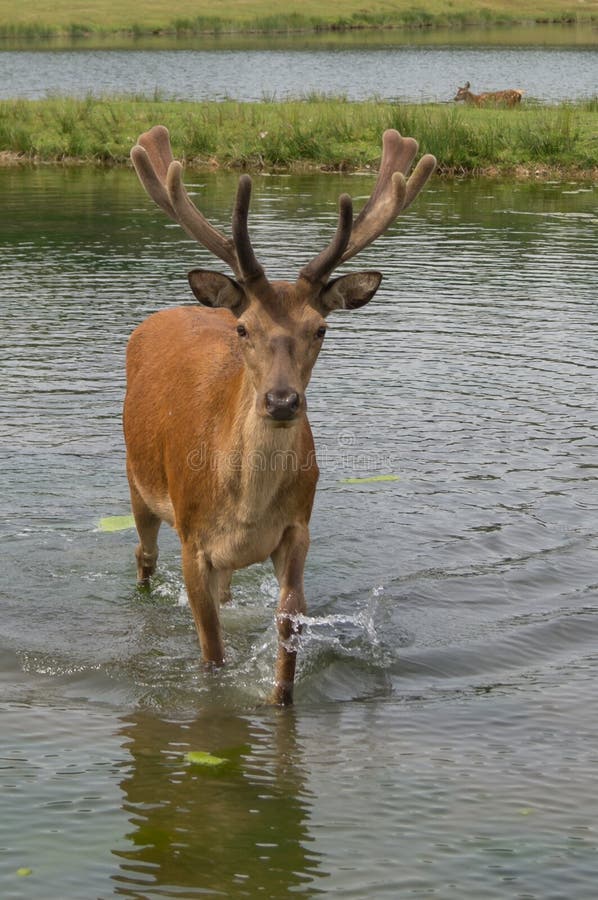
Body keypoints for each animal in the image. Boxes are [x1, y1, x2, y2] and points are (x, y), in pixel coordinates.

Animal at [124, 125, 436, 705]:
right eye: (244, 327)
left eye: (321, 328)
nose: (282, 401)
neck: (244, 505)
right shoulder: (192, 539)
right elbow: (211, 651)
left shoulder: (298, 528)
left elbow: (290, 623)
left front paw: (279, 698)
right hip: (138, 484)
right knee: (143, 556)